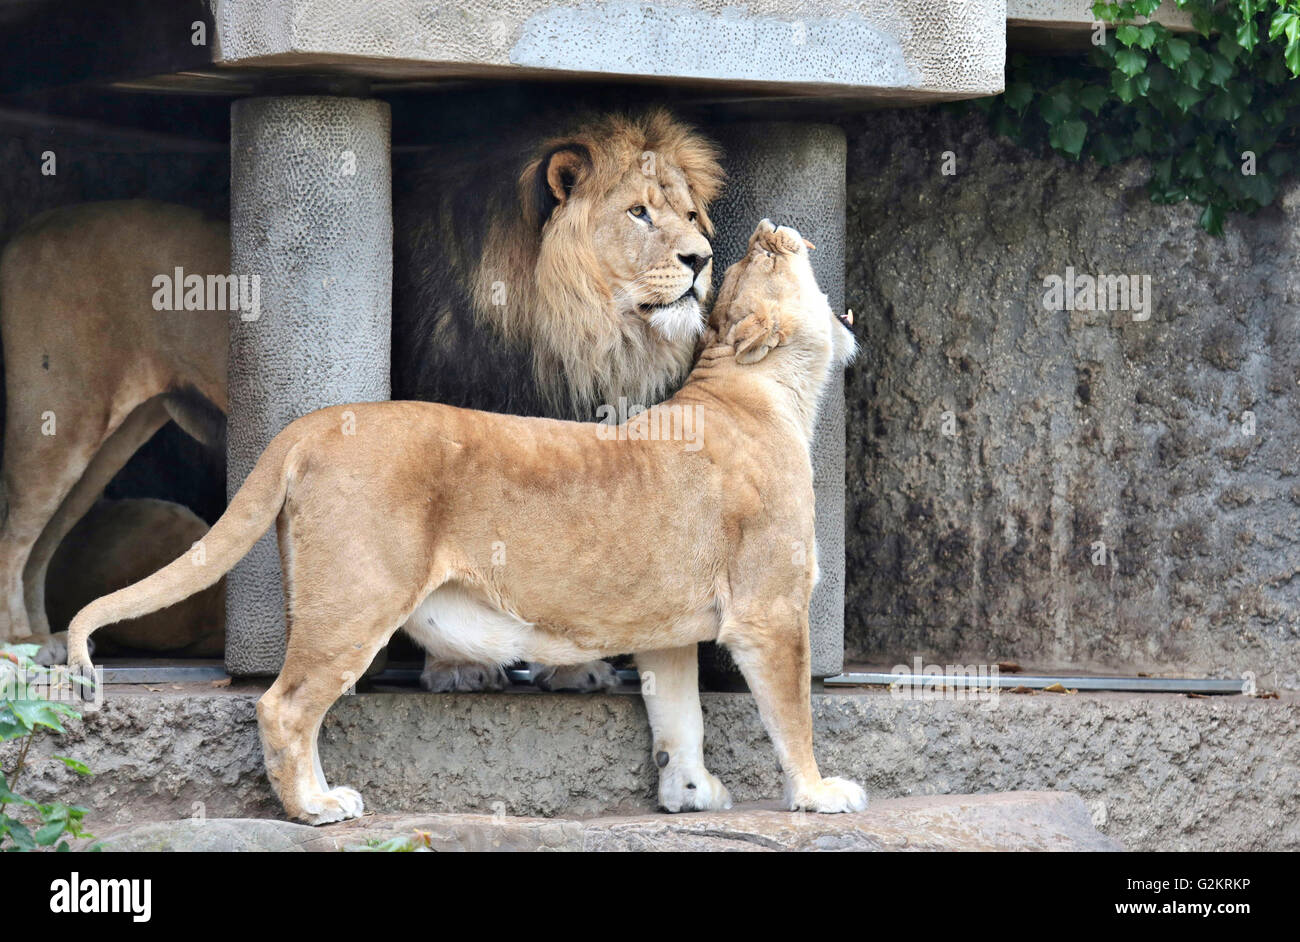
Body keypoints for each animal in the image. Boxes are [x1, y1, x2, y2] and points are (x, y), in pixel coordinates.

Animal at [0, 201, 228, 644]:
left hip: (104, 451)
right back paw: (19, 641)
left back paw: (49, 642)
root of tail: (30, 227)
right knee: (12, 546)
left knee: (39, 551)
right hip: (57, 428)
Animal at [66, 220, 865, 824]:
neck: (765, 389)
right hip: (358, 600)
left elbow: (679, 716)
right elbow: (791, 713)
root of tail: (312, 424)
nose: (761, 229)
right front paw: (819, 793)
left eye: (738, 266)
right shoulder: (770, 610)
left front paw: (691, 793)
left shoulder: (664, 628)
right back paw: (316, 809)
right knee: (283, 706)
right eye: (760, 260)